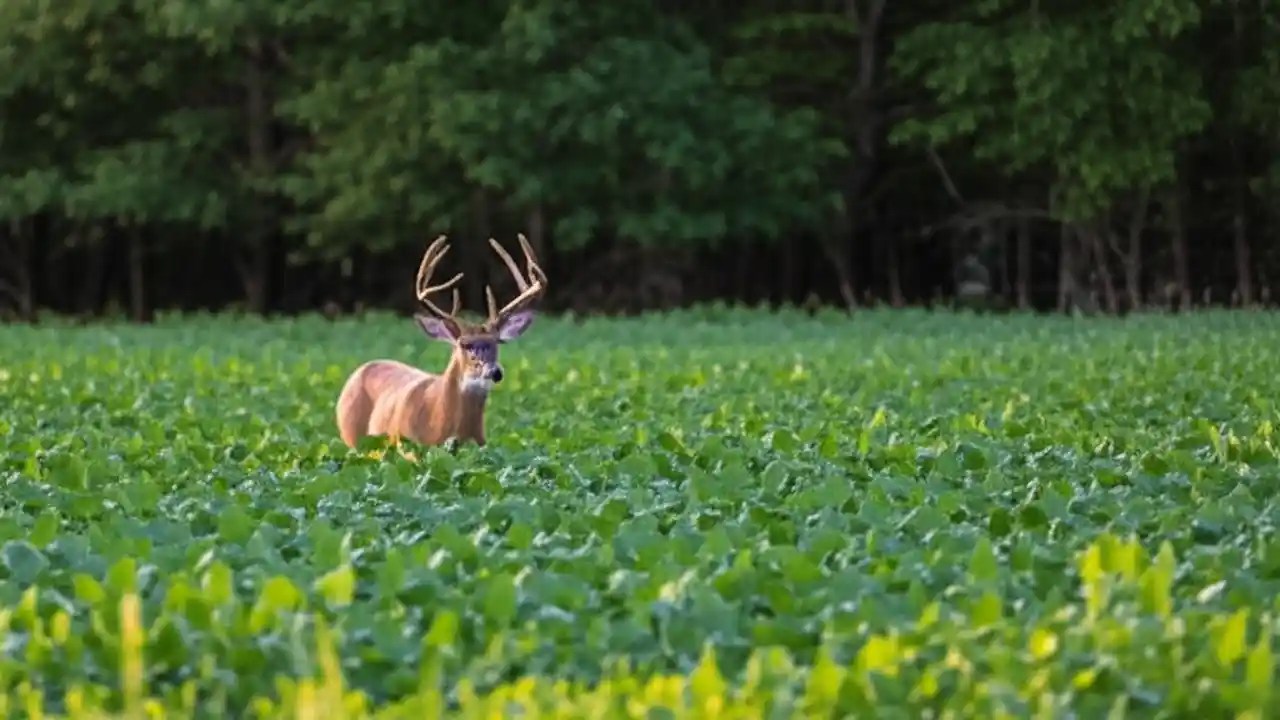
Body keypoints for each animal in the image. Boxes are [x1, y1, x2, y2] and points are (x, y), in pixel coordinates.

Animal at [335, 233, 547, 455]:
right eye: (464, 344)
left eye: (496, 342)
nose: (494, 371)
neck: (439, 422)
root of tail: (360, 370)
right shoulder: (408, 447)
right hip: (353, 439)